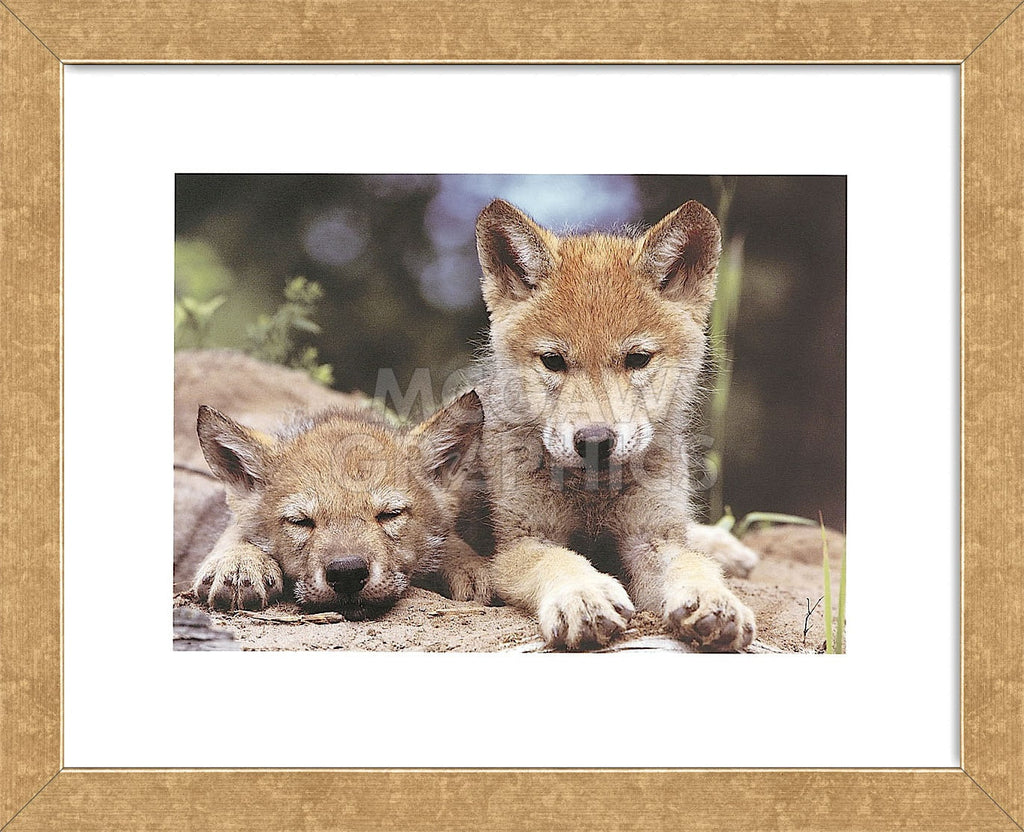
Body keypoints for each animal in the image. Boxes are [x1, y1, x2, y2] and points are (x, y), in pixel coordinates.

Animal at [473, 198, 758, 650]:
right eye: (553, 360)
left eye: (637, 359)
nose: (593, 441)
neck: (595, 492)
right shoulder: (522, 541)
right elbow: (559, 561)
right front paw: (584, 597)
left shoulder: (650, 537)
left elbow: (691, 564)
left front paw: (715, 600)